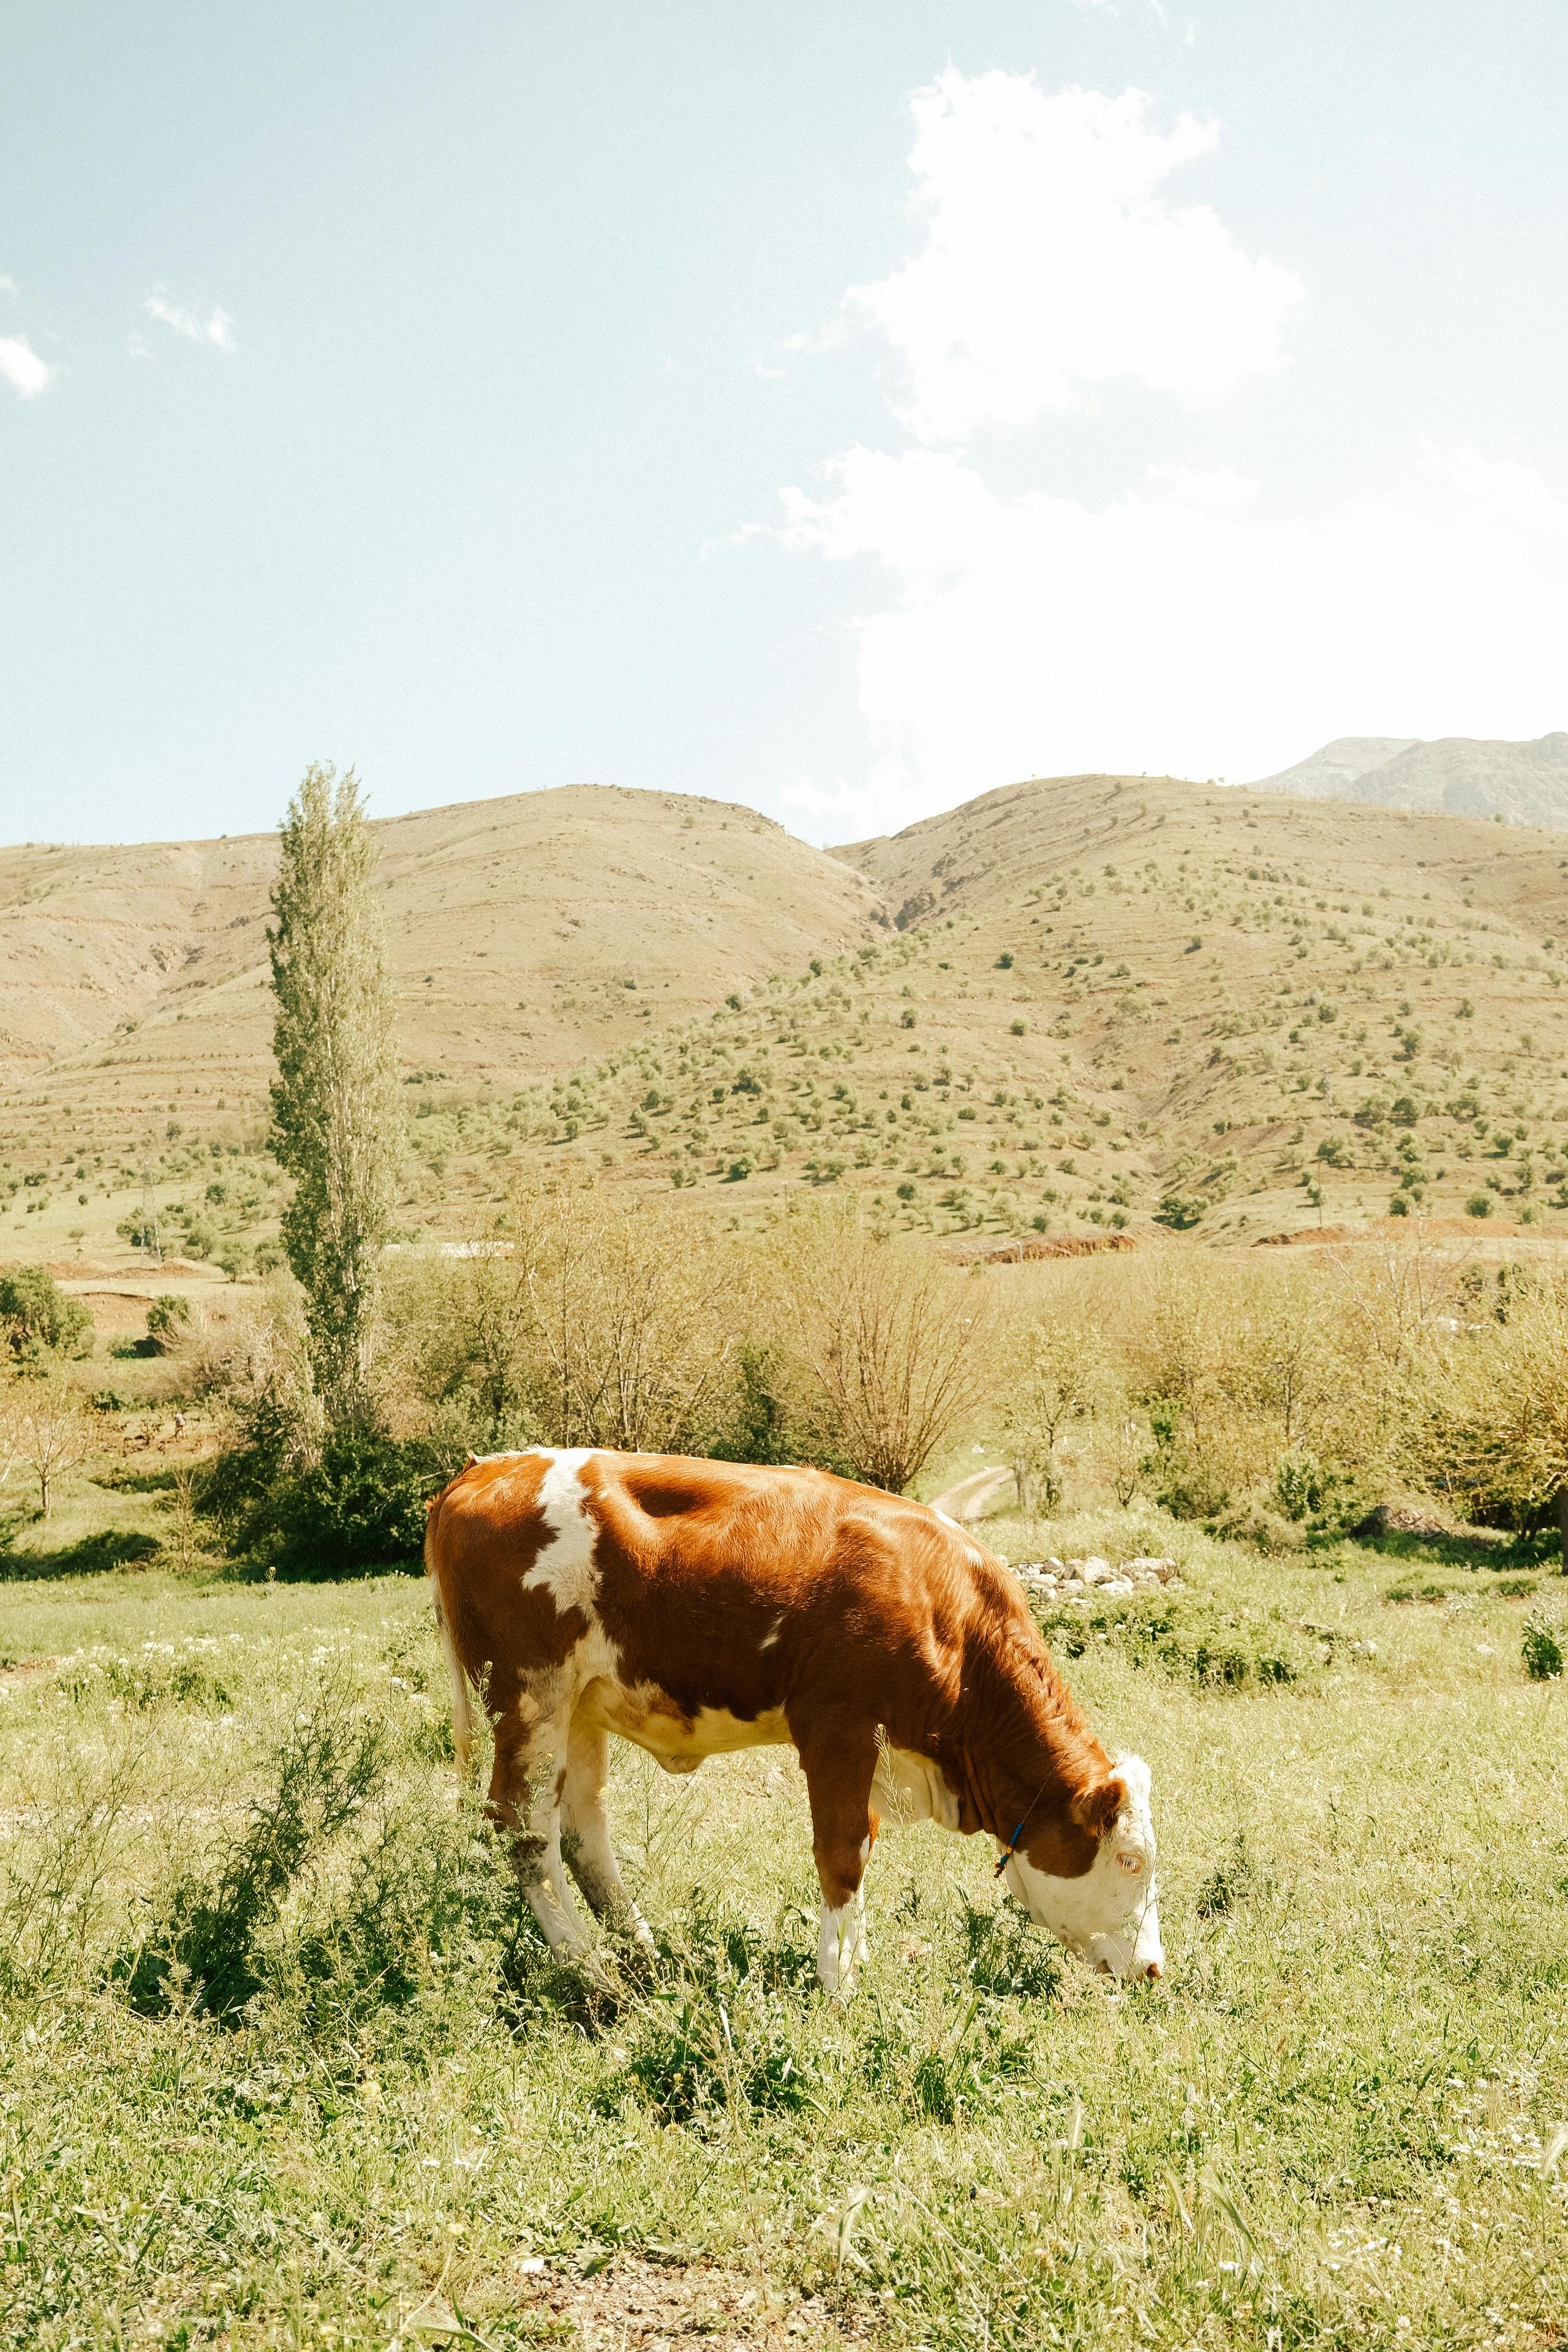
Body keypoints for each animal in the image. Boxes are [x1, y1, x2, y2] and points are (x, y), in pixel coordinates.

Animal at [425, 1446, 1163, 1992]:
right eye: (1129, 1860)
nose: (1155, 1968)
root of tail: (485, 1468)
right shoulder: (837, 1728)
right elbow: (842, 1853)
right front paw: (838, 1989)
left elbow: (858, 1851)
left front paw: (852, 1967)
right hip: (529, 1694)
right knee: (522, 1827)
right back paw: (592, 1975)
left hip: (580, 1704)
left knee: (581, 1830)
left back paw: (646, 1957)